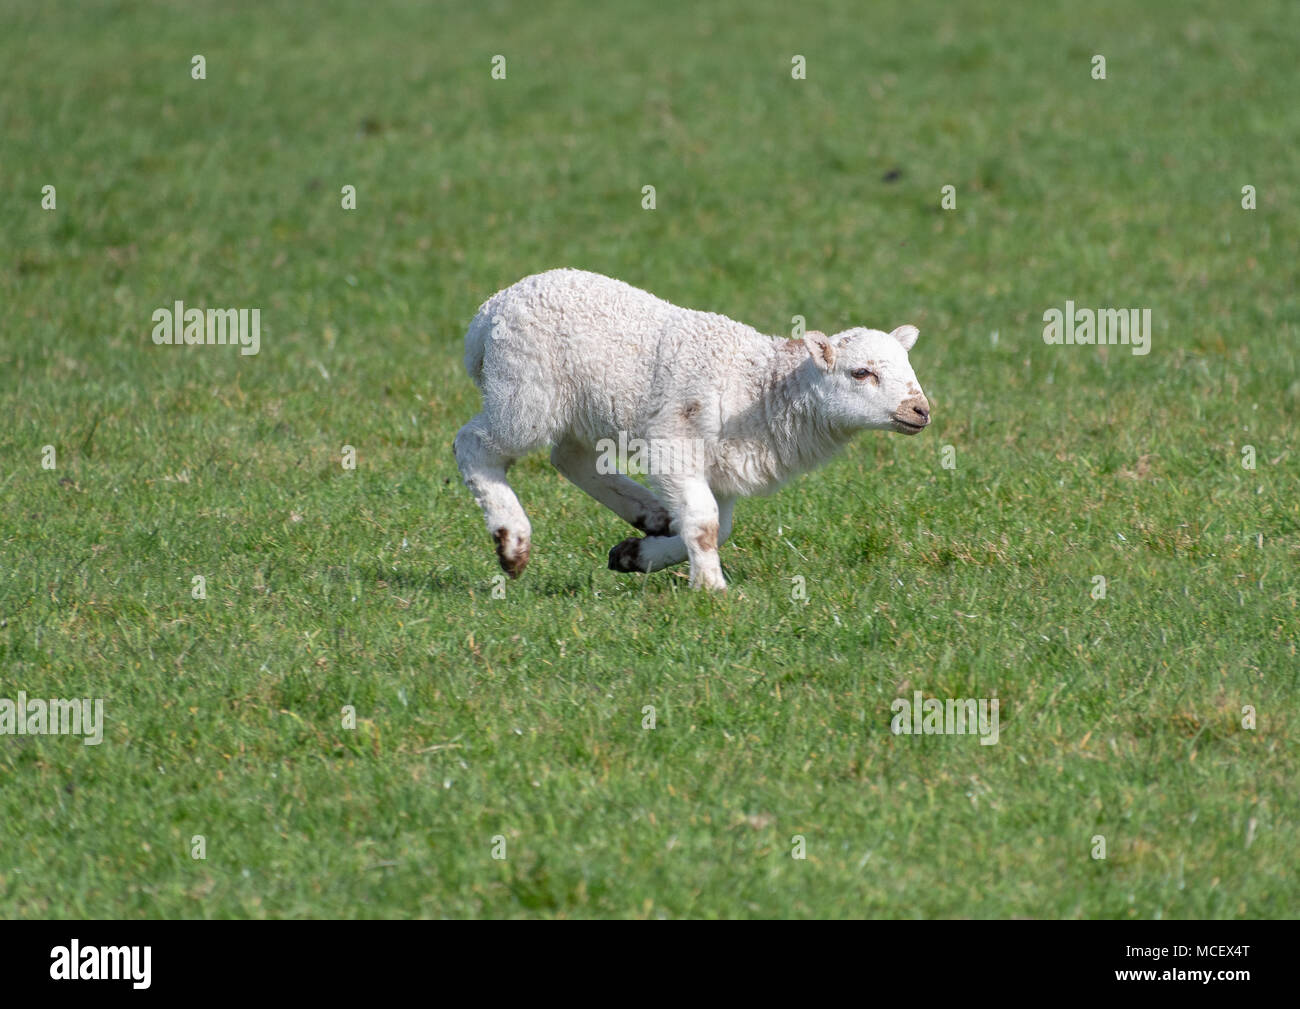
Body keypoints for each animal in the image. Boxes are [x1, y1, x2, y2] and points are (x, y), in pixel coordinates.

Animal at [453, 269, 930, 591]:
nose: (920, 410)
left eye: (910, 369)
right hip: (525, 392)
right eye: (861, 372)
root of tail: (486, 315)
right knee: (474, 445)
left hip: (578, 406)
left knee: (570, 458)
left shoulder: (726, 464)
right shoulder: (674, 443)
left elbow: (719, 525)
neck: (761, 388)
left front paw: (636, 556)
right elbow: (704, 522)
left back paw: (650, 514)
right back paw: (512, 543)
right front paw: (711, 590)